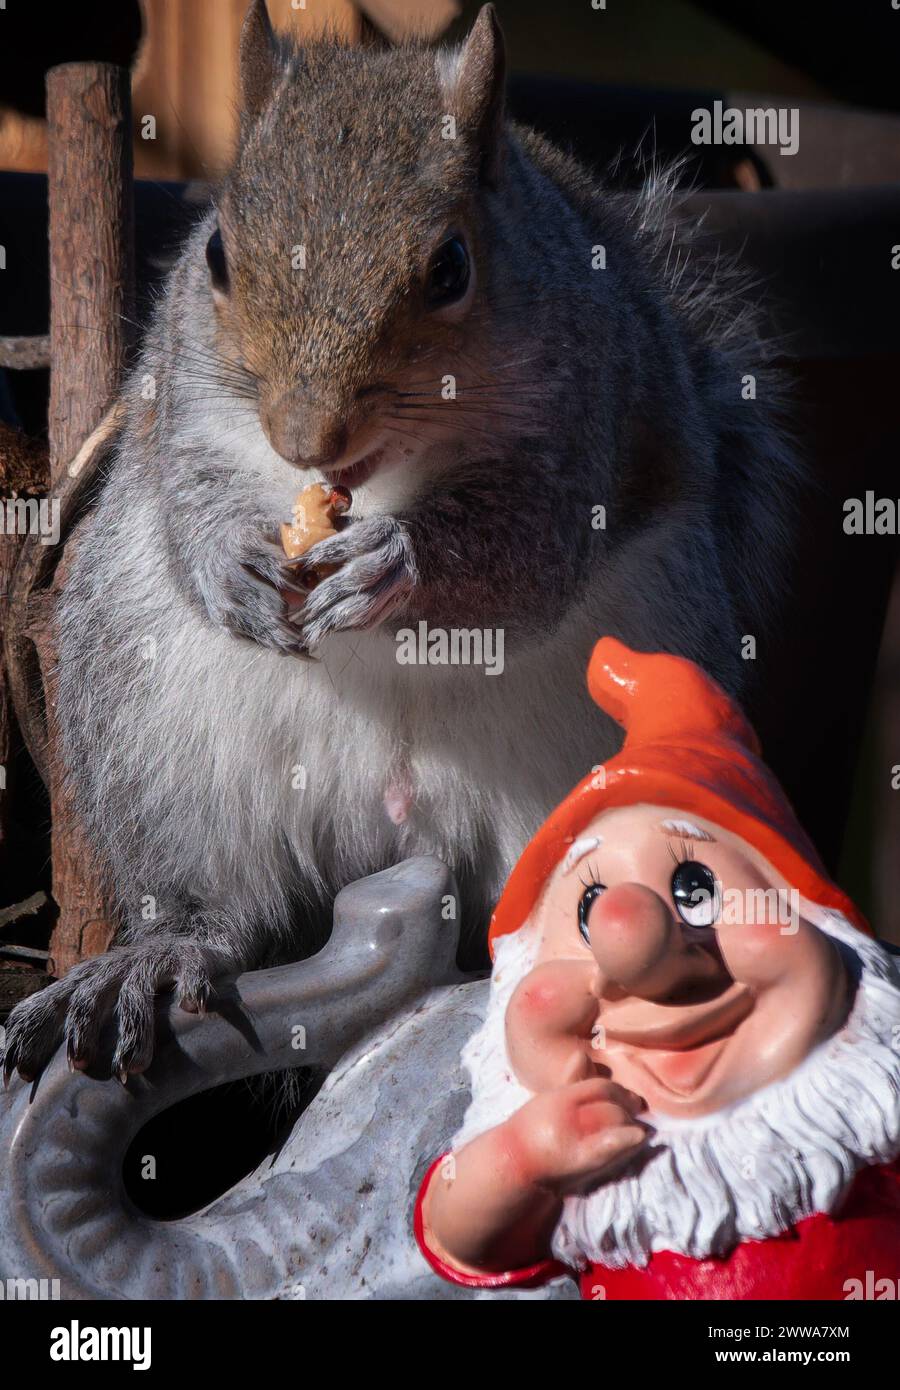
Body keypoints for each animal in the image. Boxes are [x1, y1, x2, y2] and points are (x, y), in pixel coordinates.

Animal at [2, 2, 798, 1084]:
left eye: (451, 268)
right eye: (216, 256)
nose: (306, 437)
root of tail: (393, 840)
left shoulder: (587, 421)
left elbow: (524, 553)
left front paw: (397, 564)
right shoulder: (178, 390)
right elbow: (183, 489)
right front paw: (229, 562)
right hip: (157, 731)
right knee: (218, 908)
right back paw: (159, 957)